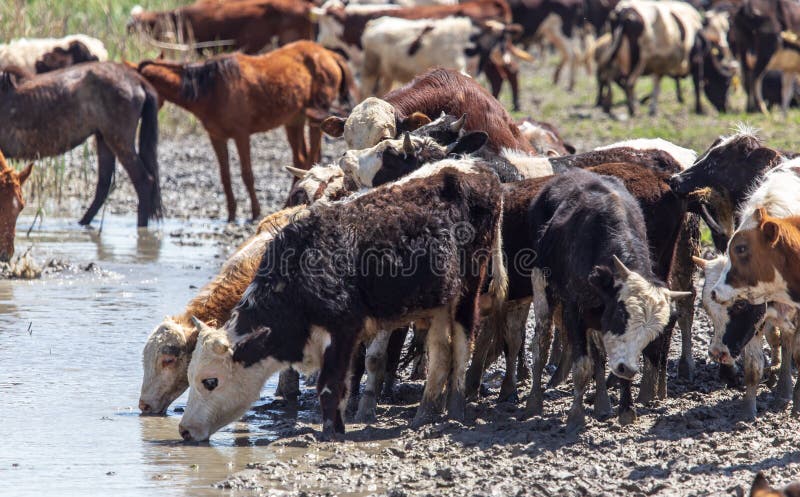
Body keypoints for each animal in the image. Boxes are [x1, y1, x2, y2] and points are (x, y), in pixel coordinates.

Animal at [177, 162, 507, 441]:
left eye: (210, 381)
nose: (184, 431)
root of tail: (480, 170)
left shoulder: (343, 329)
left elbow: (330, 383)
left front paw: (330, 432)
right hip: (440, 301)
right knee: (440, 351)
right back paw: (425, 413)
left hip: (469, 288)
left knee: (462, 345)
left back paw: (456, 408)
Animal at [359, 16, 523, 96]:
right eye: (502, 39)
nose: (507, 59)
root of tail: (375, 22)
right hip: (370, 68)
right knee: (364, 92)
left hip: (388, 75)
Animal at [525, 169, 689, 432]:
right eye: (622, 315)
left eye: (652, 333)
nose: (626, 367)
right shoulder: (574, 311)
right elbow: (582, 365)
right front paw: (576, 416)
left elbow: (609, 361)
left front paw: (626, 411)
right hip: (541, 284)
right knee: (541, 339)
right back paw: (533, 402)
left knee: (599, 354)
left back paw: (602, 403)